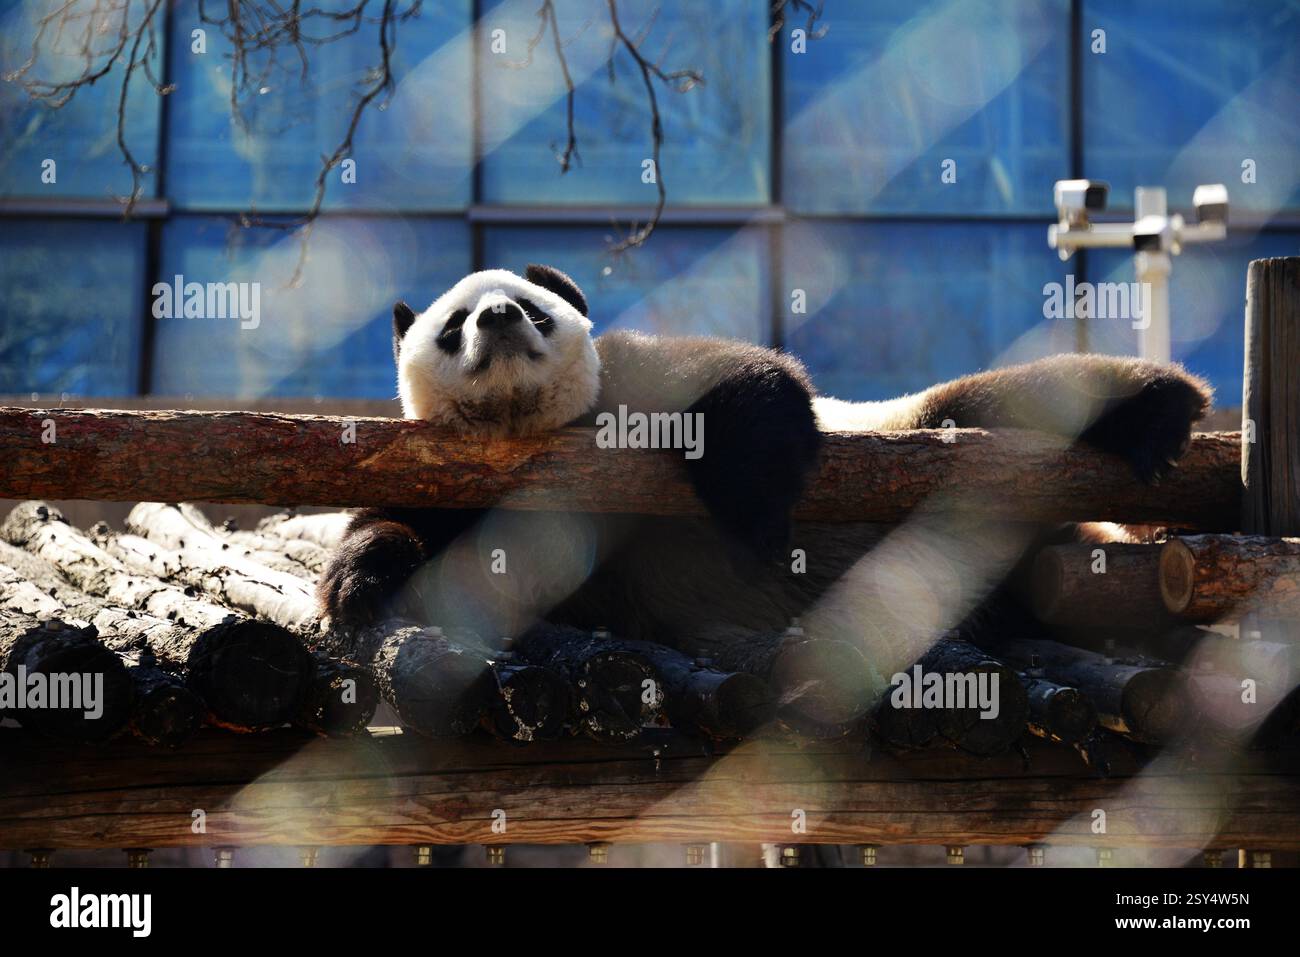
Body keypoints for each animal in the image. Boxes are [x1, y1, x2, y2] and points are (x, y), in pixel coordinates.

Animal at [318, 264, 1210, 675]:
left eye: (534, 309)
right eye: (454, 324)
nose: (501, 317)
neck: (534, 432)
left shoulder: (633, 379)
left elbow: (746, 379)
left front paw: (754, 511)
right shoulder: (458, 478)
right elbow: (397, 526)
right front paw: (360, 582)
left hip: (930, 433)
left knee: (1006, 402)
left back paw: (1161, 411)